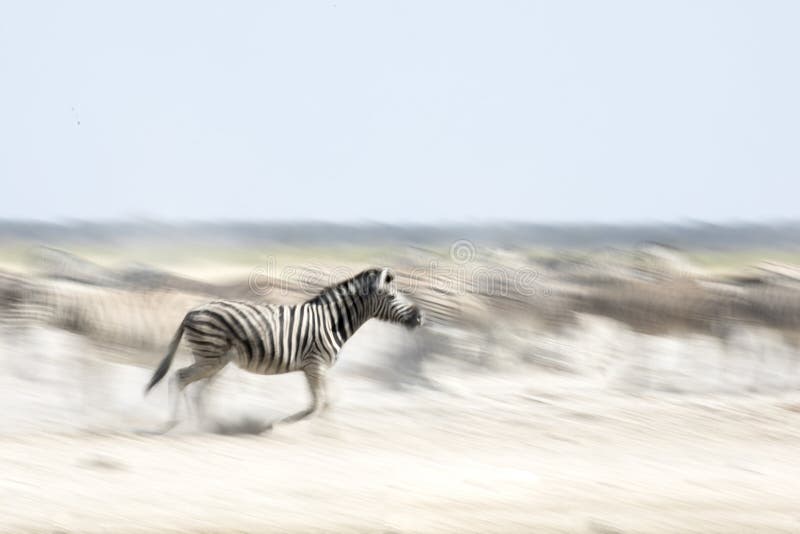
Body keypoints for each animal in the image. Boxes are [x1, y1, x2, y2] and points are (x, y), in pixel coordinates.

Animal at [145, 267, 424, 428]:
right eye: (392, 297)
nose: (419, 317)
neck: (332, 321)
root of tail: (192, 311)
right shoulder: (315, 365)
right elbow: (318, 404)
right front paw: (281, 424)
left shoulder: (316, 367)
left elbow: (326, 402)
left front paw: (328, 435)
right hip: (209, 357)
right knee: (180, 378)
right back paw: (177, 424)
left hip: (216, 360)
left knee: (199, 390)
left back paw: (204, 426)